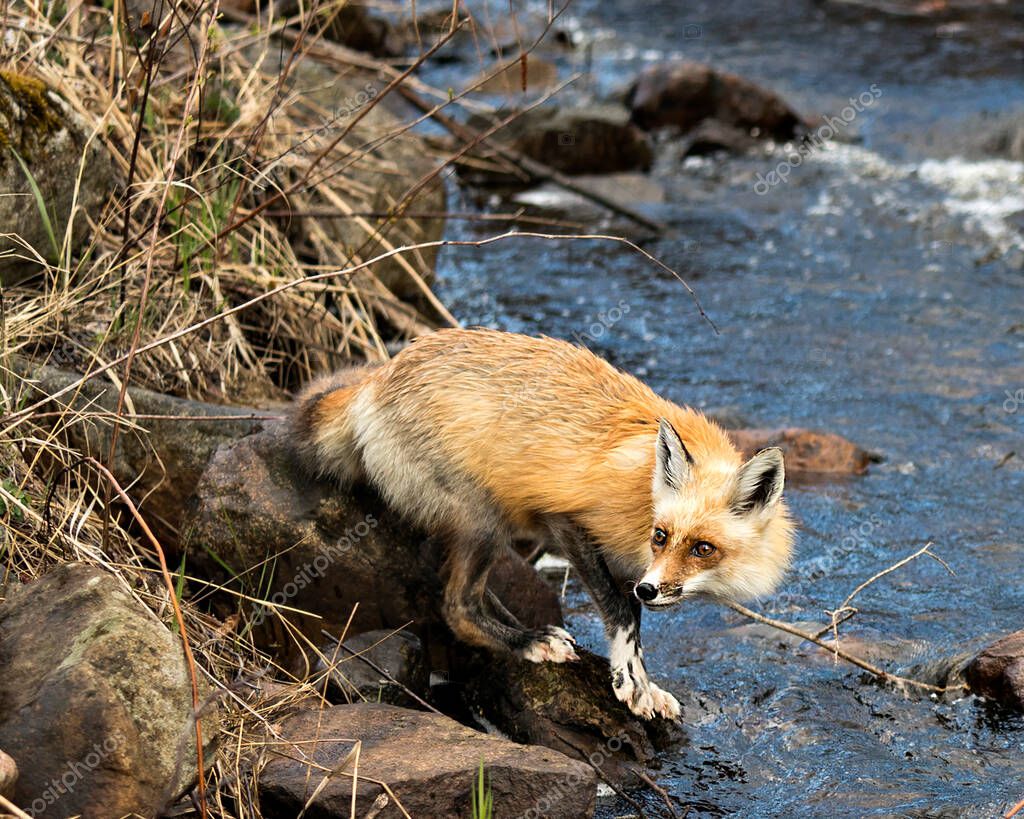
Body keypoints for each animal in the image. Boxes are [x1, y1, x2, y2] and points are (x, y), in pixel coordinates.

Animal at [291, 328, 795, 719]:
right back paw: (528, 641)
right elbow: (622, 614)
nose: (651, 590)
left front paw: (645, 684)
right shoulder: (568, 519)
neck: (641, 494)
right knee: (456, 605)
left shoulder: (626, 566)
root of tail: (378, 377)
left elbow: (629, 616)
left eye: (702, 548)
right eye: (661, 536)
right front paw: (631, 682)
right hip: (484, 521)